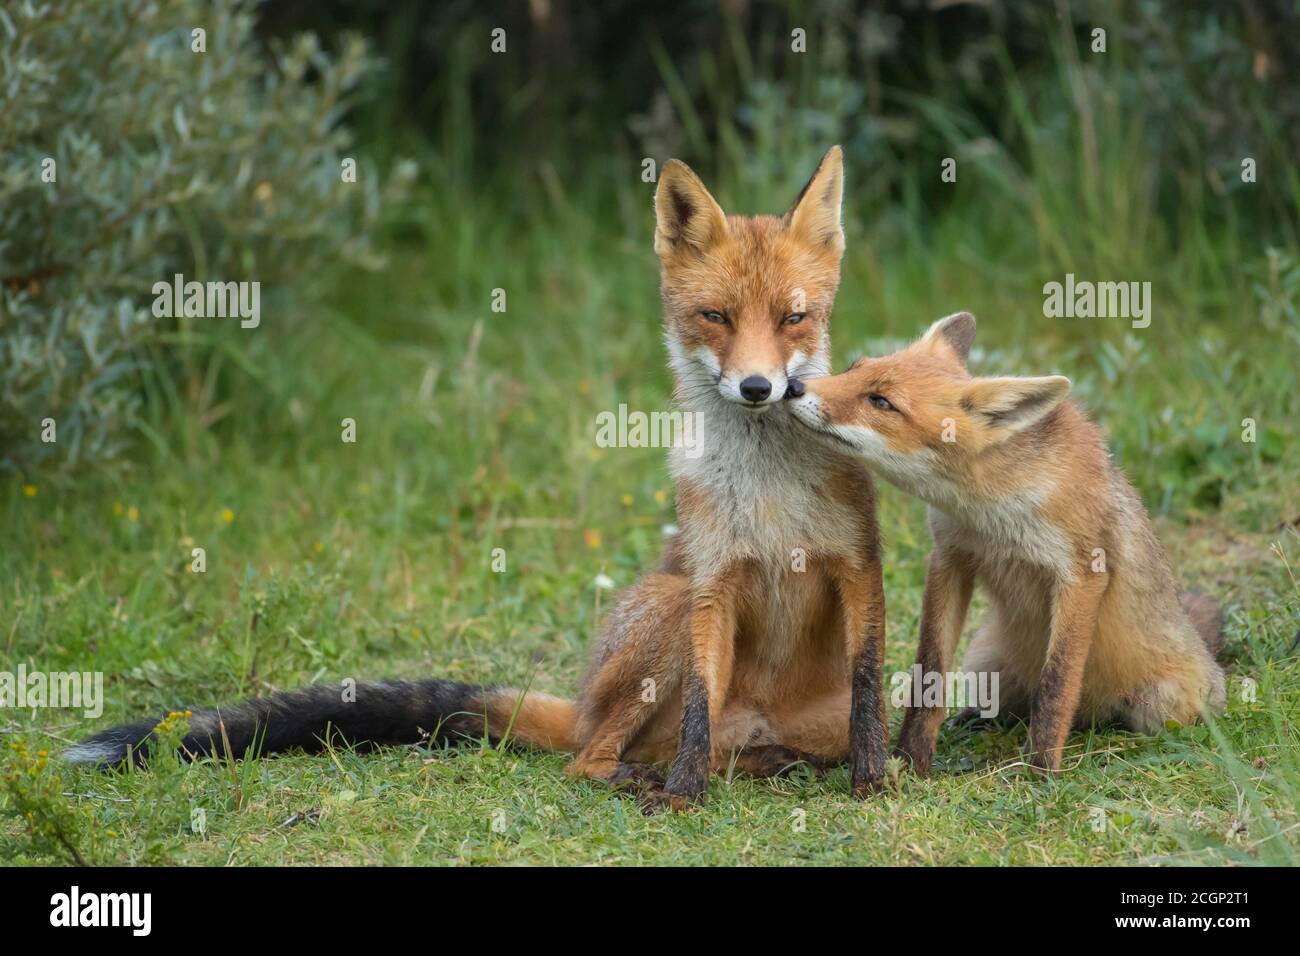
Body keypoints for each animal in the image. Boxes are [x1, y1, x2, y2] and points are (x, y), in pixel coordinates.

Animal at [66, 147, 891, 808]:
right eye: (715, 317)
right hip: (667, 608)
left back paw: (775, 765)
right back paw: (646, 777)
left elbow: (868, 688)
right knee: (593, 757)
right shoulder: (713, 584)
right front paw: (684, 796)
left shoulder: (858, 566)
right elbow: (693, 720)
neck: (769, 489)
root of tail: (580, 702)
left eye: (793, 319)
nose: (756, 388)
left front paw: (875, 778)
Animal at [784, 311, 1227, 773]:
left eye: (881, 402)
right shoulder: (950, 559)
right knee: (1009, 705)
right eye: (854, 367)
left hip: (1162, 705)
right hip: (983, 663)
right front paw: (909, 760)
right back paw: (976, 721)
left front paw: (1042, 770)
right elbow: (929, 672)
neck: (992, 514)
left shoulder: (1082, 572)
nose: (793, 387)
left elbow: (1056, 684)